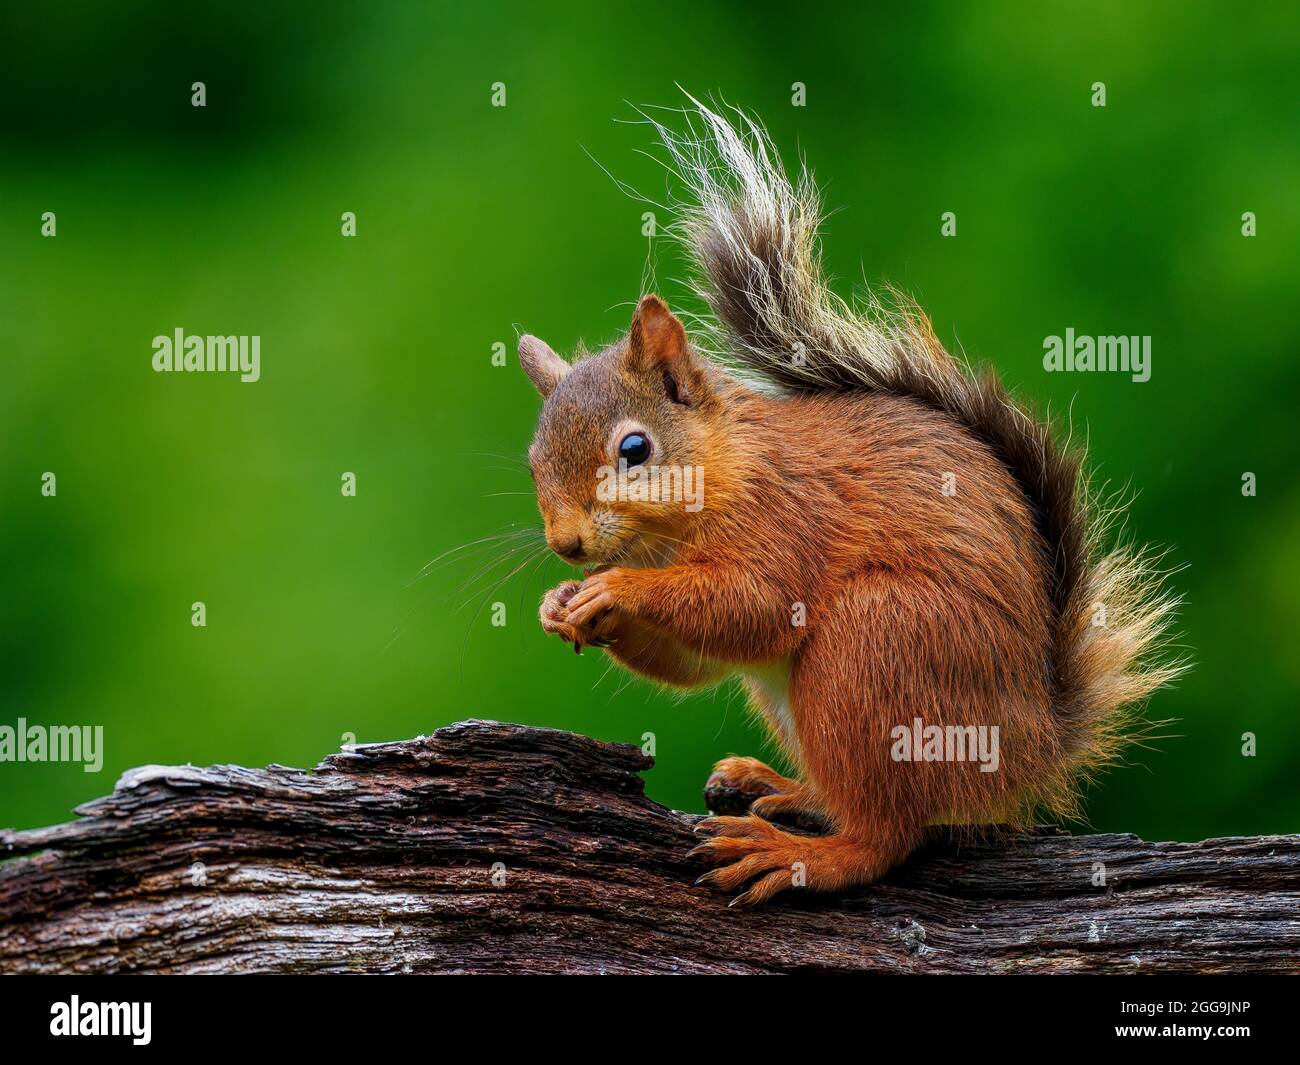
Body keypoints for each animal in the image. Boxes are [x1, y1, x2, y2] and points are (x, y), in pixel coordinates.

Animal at [516, 101, 1183, 906]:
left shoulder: (785, 518)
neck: (719, 477)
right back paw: (779, 787)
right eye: (532, 462)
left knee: (885, 834)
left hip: (871, 648)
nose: (568, 545)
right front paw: (561, 604)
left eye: (636, 449)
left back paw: (796, 852)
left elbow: (754, 603)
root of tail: (1034, 742)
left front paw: (614, 589)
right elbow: (694, 662)